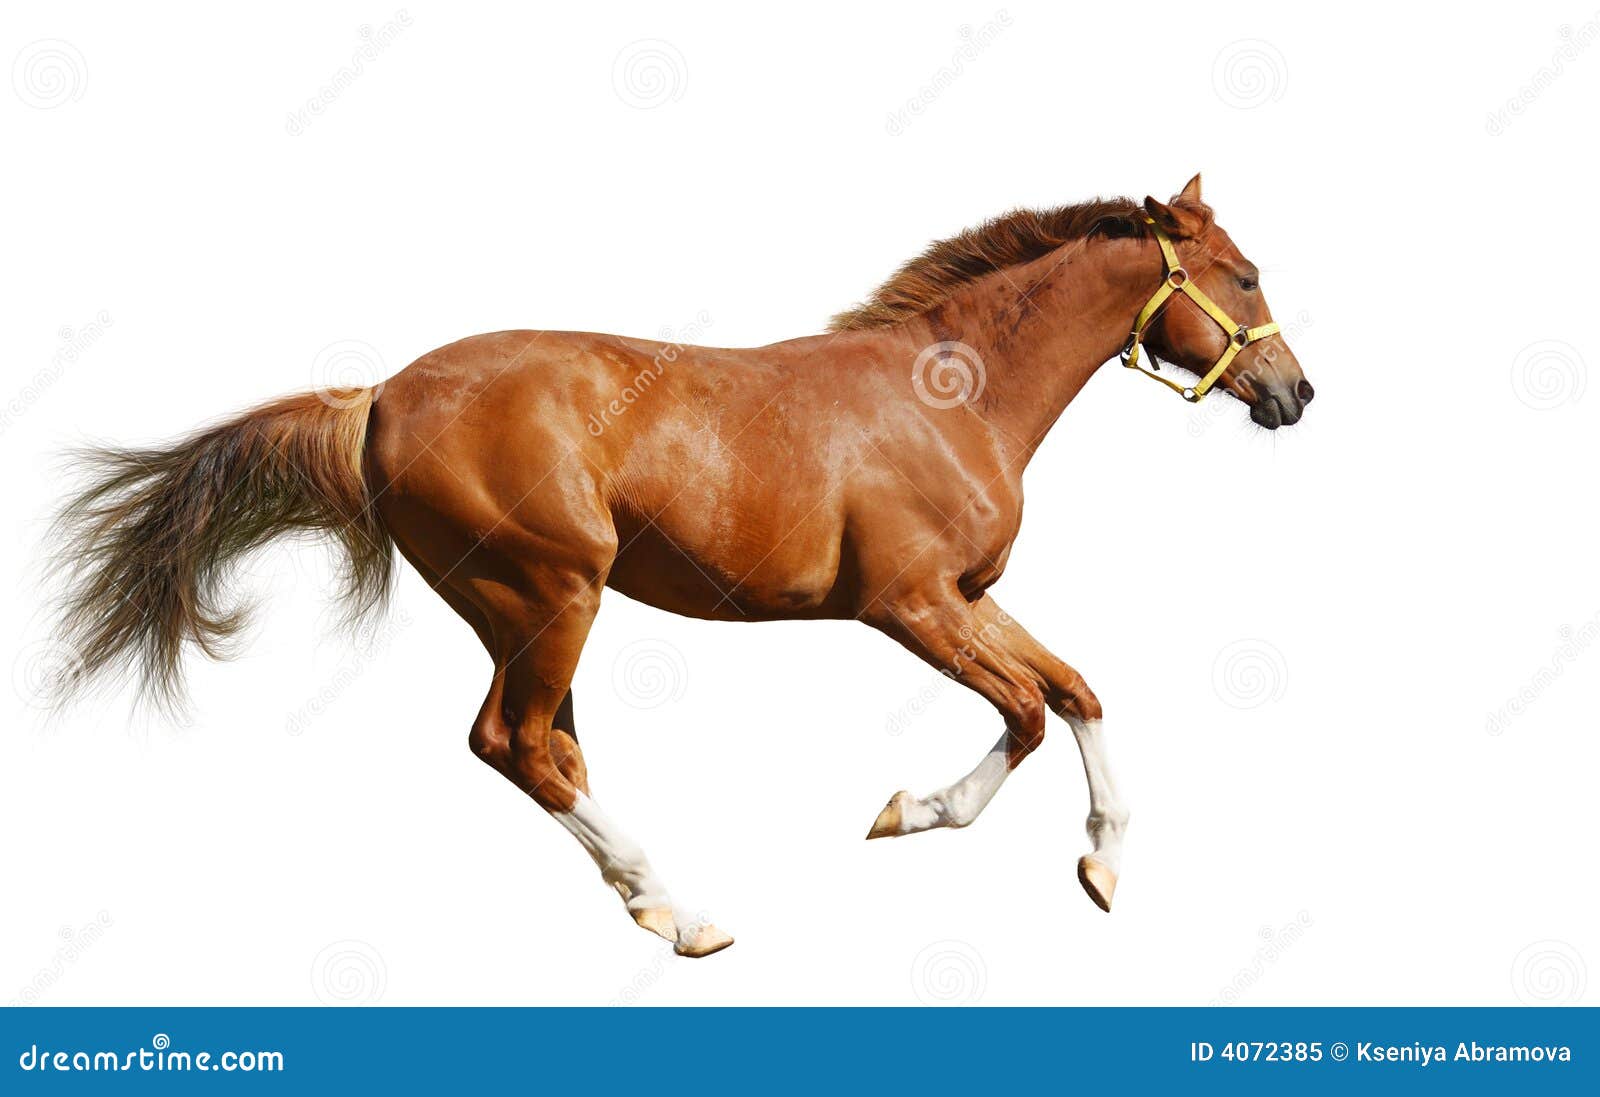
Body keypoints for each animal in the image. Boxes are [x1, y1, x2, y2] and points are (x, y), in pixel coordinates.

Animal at [48, 175, 1311, 958]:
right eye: (1244, 275)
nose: (1295, 393)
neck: (953, 396)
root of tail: (378, 399)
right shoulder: (906, 605)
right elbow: (1028, 713)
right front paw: (907, 811)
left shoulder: (968, 597)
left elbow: (1075, 688)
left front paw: (1103, 868)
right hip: (550, 592)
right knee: (514, 742)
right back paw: (684, 915)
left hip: (523, 610)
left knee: (550, 746)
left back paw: (655, 903)